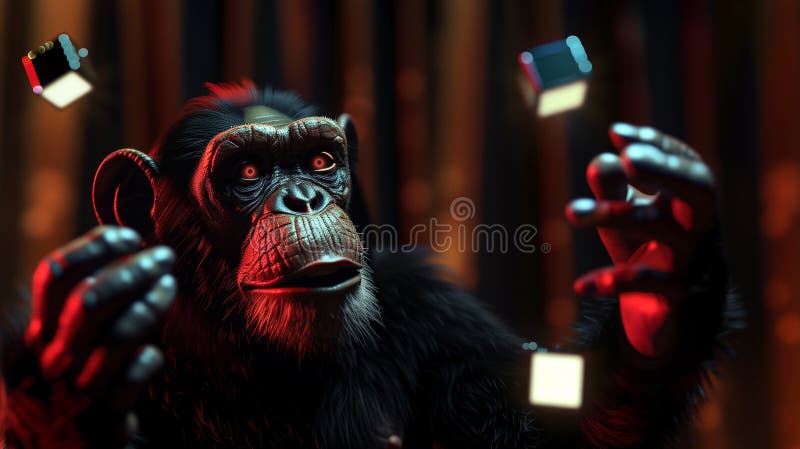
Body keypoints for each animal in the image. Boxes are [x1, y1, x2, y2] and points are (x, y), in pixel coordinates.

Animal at [1, 81, 738, 449]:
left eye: (321, 160)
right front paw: (69, 392)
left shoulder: (435, 312)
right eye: (248, 172)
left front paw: (663, 276)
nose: (304, 197)